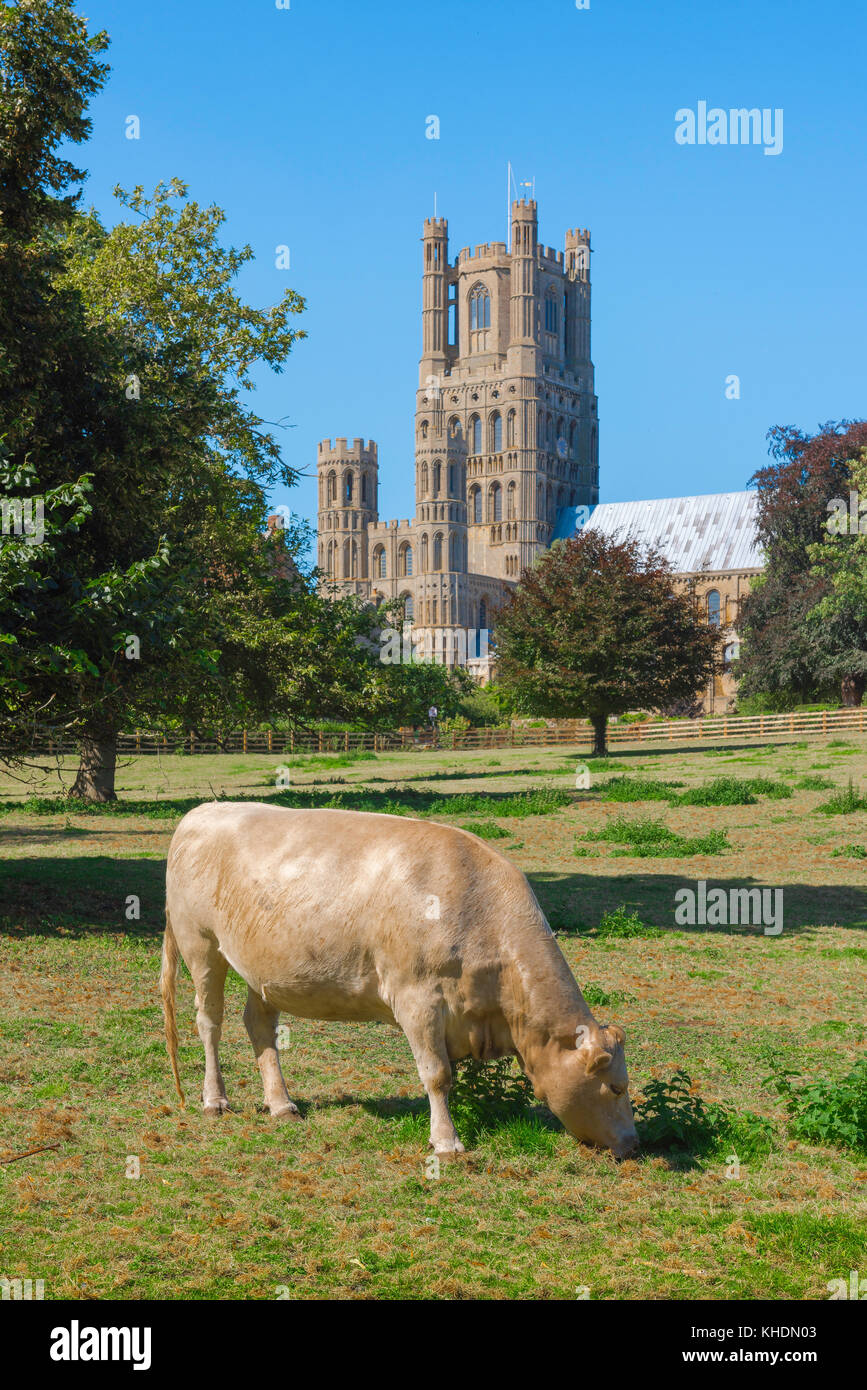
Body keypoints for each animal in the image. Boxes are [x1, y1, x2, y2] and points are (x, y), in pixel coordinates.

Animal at [160, 802, 638, 1159]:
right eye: (616, 1087)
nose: (635, 1146)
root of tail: (202, 812)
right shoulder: (417, 999)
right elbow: (438, 1075)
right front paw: (446, 1142)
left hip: (261, 965)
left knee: (258, 1025)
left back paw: (281, 1104)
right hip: (200, 943)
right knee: (209, 1022)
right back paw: (214, 1099)